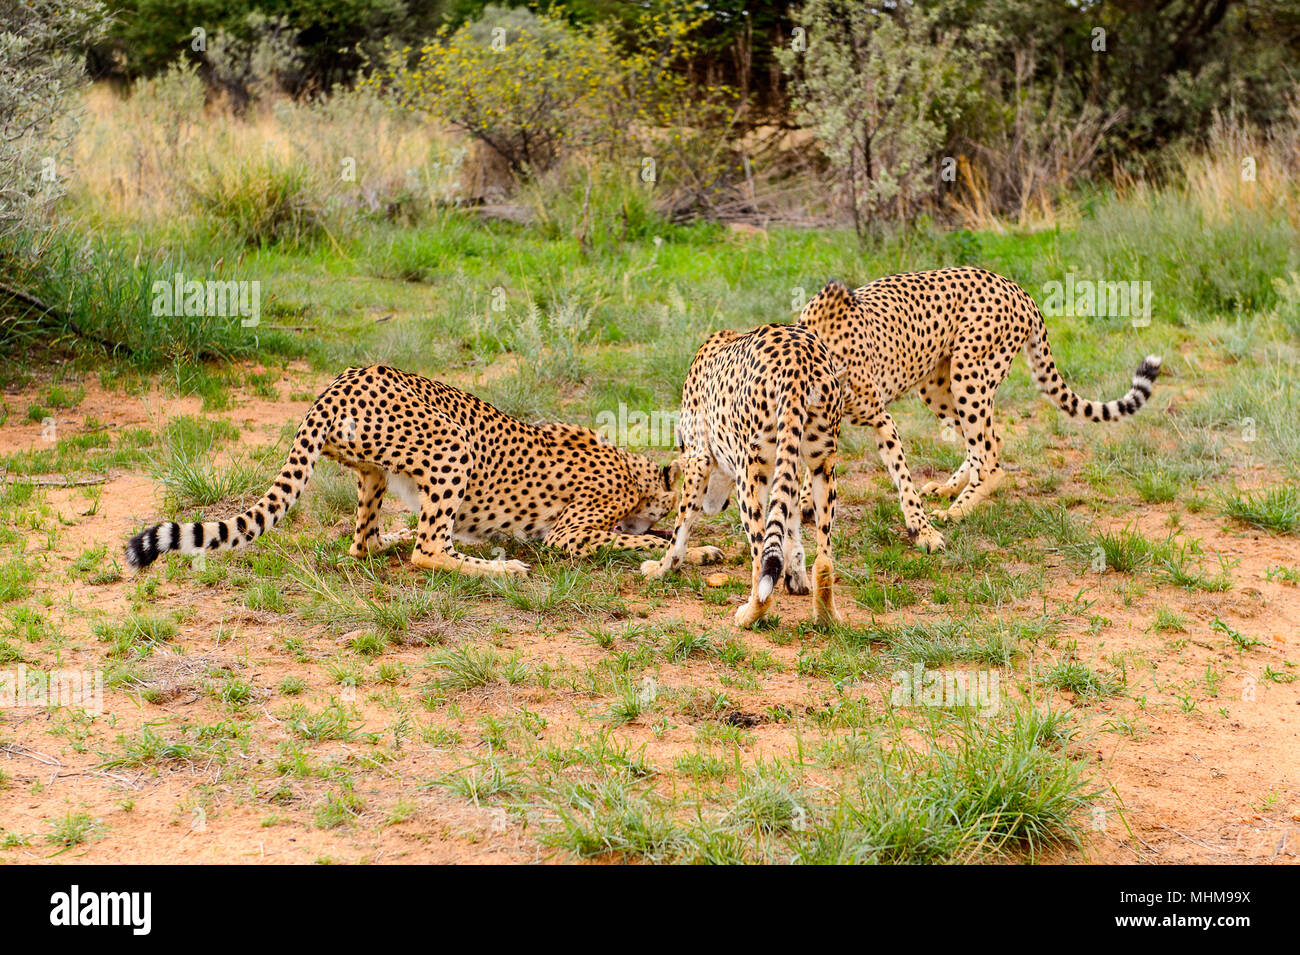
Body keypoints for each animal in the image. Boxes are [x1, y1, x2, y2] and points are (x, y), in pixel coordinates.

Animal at [124, 364, 722, 577]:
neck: (637, 474)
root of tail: (340, 381)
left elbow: (652, 537)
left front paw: (695, 547)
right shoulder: (568, 537)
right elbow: (630, 541)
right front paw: (689, 549)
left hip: (372, 470)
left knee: (362, 543)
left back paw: (392, 536)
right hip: (452, 444)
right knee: (428, 549)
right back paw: (497, 566)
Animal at [639, 323, 846, 629]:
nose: (714, 507)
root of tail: (798, 357)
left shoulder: (698, 458)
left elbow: (681, 526)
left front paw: (661, 568)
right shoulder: (792, 462)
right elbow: (790, 524)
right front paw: (796, 576)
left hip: (750, 472)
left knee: (760, 558)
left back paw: (750, 614)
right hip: (823, 461)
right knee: (823, 558)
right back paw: (826, 617)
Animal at [797, 266, 1162, 553]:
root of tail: (1014, 286)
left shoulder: (880, 418)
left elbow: (903, 480)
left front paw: (924, 532)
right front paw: (804, 503)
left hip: (968, 374)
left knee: (988, 458)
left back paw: (957, 510)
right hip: (937, 384)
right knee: (990, 441)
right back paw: (948, 488)